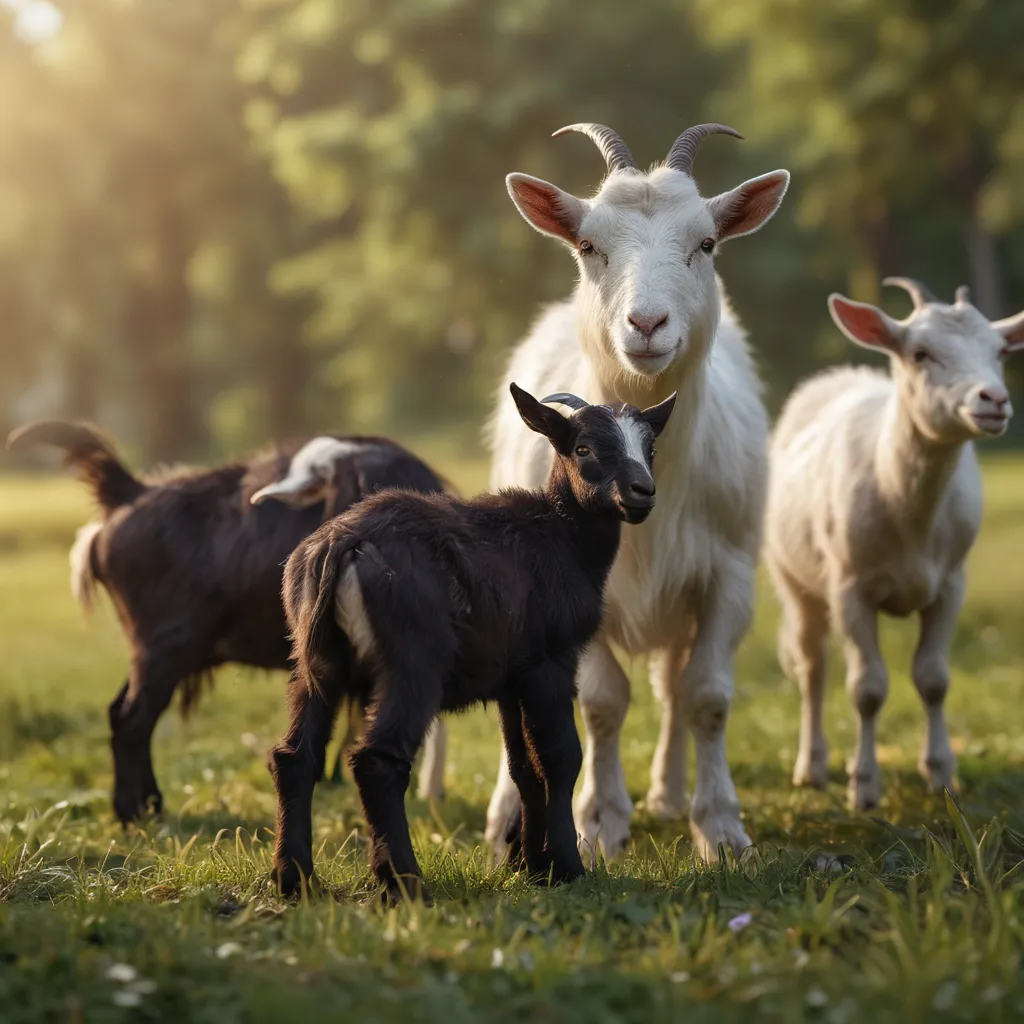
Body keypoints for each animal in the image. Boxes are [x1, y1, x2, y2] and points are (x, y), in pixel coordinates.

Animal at [6, 422, 446, 822]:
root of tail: (129, 493)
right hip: (163, 647)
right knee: (133, 719)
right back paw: (135, 813)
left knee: (121, 712)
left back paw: (149, 805)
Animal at [269, 384, 675, 902]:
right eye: (583, 448)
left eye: (650, 448)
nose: (641, 492)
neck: (562, 537)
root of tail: (342, 546)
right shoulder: (551, 661)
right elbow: (560, 757)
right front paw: (566, 866)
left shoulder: (511, 677)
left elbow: (523, 765)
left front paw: (529, 864)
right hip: (412, 661)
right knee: (377, 760)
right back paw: (404, 883)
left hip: (315, 659)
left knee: (295, 757)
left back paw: (294, 879)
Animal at [449, 122, 789, 862]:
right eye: (588, 245)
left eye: (706, 243)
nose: (647, 325)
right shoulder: (578, 585)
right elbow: (602, 701)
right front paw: (599, 823)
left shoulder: (728, 572)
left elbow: (706, 694)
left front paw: (720, 827)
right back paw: (506, 813)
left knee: (672, 684)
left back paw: (668, 793)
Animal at [765, 278, 1024, 809]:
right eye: (921, 353)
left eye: (999, 350)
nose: (994, 399)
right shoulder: (850, 586)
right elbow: (867, 688)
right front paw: (863, 787)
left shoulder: (952, 583)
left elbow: (934, 679)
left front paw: (942, 774)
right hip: (792, 577)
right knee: (812, 666)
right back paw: (811, 768)